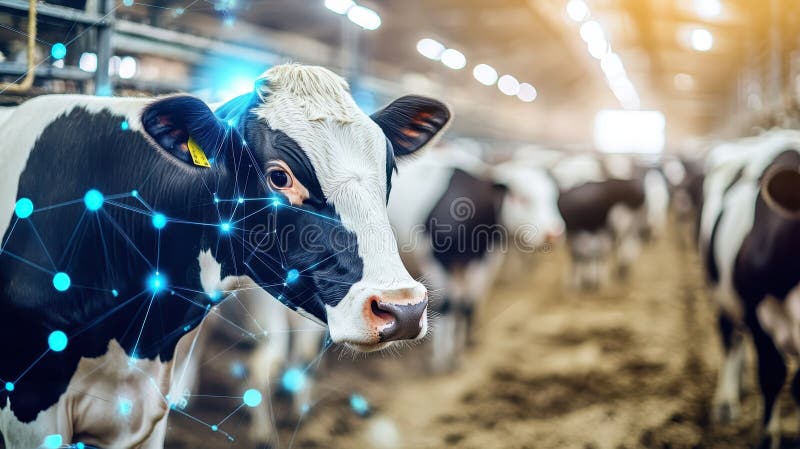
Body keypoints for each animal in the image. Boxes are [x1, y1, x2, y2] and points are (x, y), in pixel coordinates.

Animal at [388, 146, 564, 372]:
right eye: (522, 198)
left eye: (554, 197)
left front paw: (465, 344)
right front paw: (444, 355)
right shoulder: (441, 262)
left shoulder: (487, 261)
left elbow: (469, 303)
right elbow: (452, 305)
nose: (554, 233)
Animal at [701, 129, 800, 449]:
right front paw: (768, 438)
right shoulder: (756, 310)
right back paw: (725, 402)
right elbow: (772, 374)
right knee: (728, 335)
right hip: (720, 291)